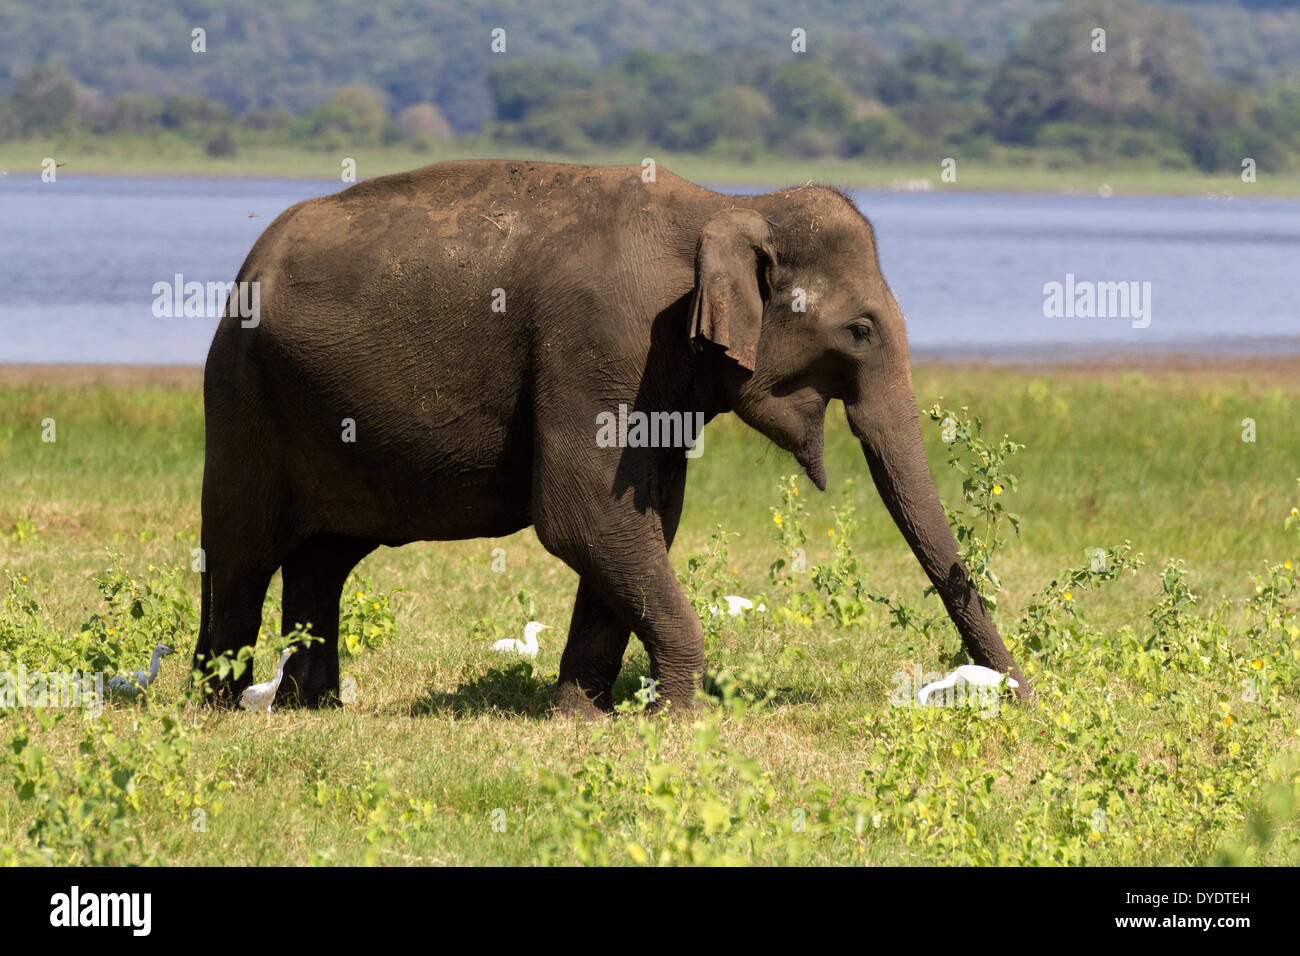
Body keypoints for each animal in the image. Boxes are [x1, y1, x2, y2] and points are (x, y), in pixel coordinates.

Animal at [193, 159, 1030, 713]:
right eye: (859, 330)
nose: (1025, 695)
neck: (726, 205)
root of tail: (247, 262)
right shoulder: (601, 337)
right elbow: (582, 513)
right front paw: (679, 717)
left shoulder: (656, 373)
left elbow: (646, 515)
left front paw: (578, 715)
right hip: (240, 391)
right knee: (240, 551)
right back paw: (216, 707)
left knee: (324, 560)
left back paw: (310, 708)